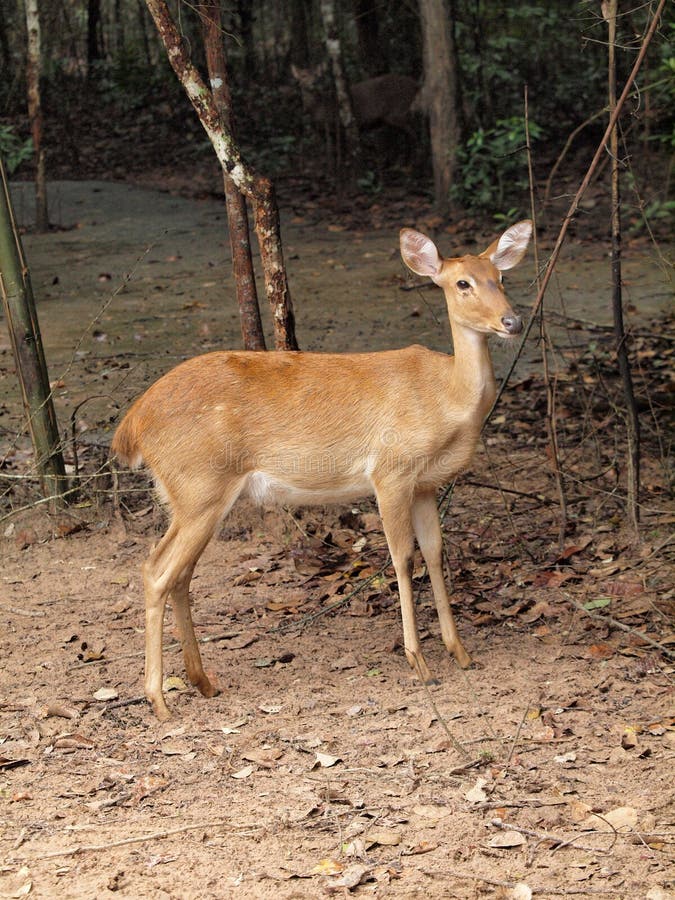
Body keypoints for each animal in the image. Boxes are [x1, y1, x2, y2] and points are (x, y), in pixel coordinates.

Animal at [111, 220, 532, 721]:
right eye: (462, 283)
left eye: (501, 278)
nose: (511, 322)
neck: (446, 399)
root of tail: (132, 426)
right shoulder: (390, 470)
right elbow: (402, 557)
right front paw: (419, 662)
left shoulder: (427, 484)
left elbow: (434, 553)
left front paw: (461, 653)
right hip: (199, 485)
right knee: (157, 571)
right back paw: (159, 700)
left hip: (192, 495)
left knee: (176, 572)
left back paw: (203, 682)